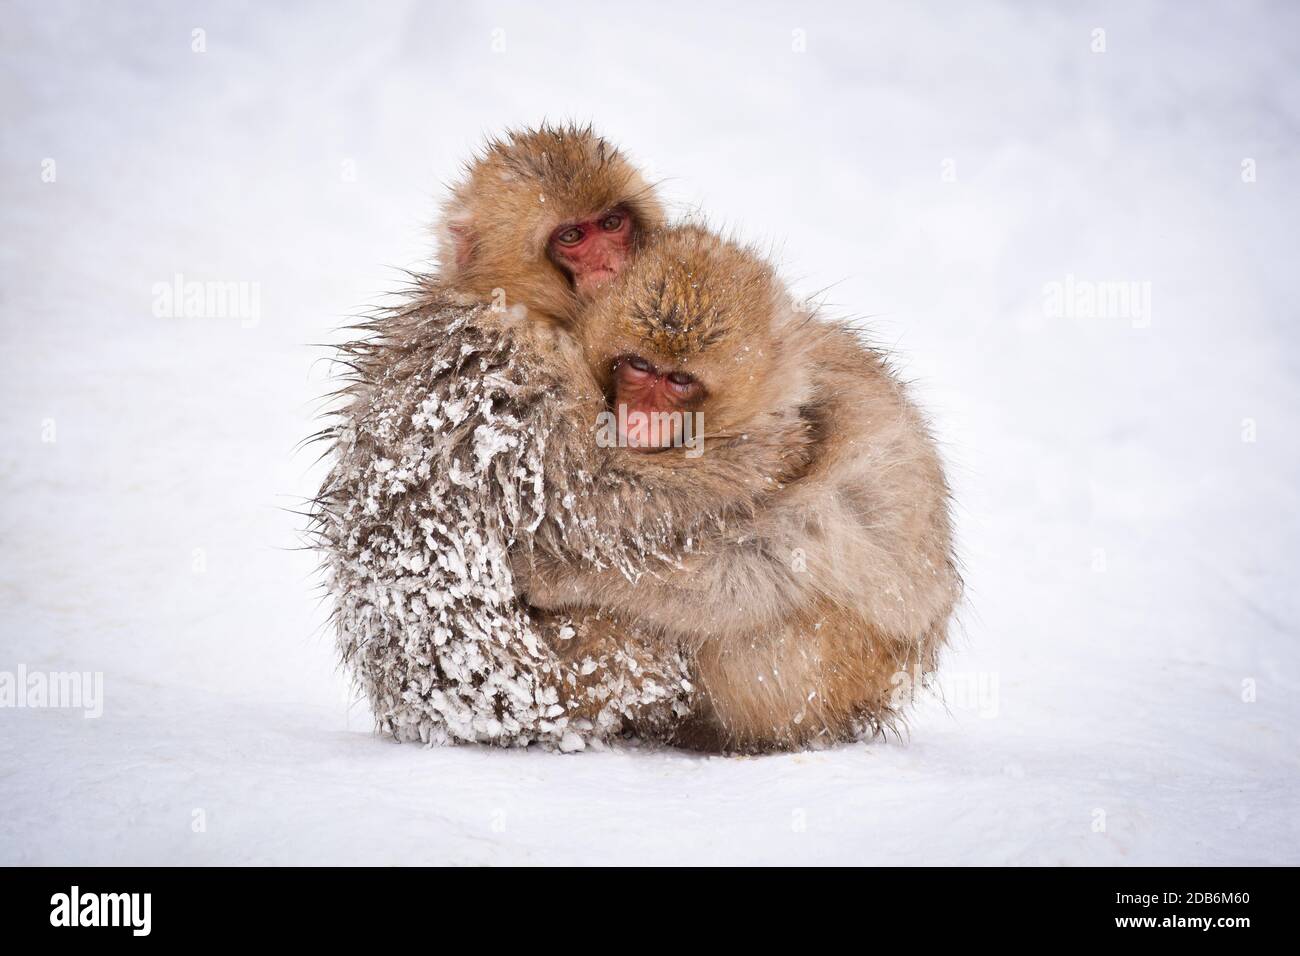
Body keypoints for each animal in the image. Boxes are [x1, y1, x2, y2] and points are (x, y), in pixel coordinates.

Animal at [512, 224, 962, 753]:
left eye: (680, 379)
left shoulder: (807, 442)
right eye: (639, 366)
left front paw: (557, 575)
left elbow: (752, 577)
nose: (642, 418)